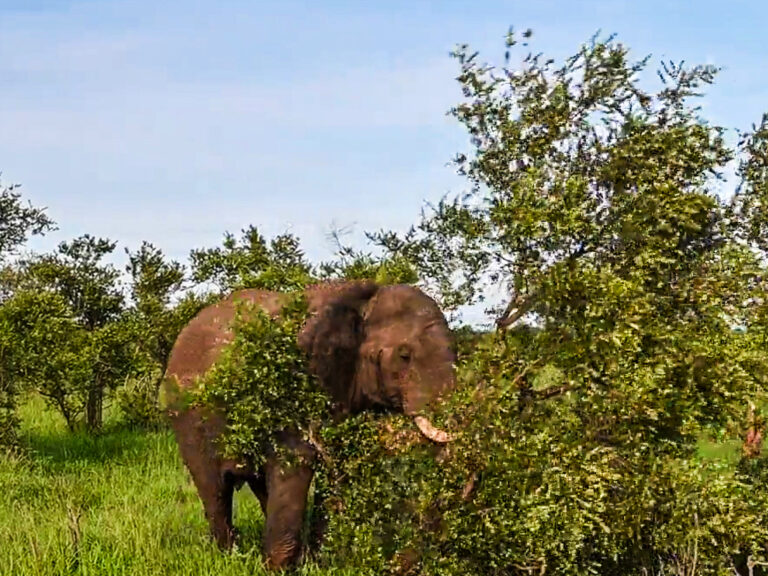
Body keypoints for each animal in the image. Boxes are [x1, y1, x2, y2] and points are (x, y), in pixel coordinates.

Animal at [162, 280, 457, 569]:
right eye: (404, 356)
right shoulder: (292, 383)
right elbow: (295, 464)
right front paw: (278, 570)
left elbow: (334, 471)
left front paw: (318, 564)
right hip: (186, 416)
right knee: (214, 490)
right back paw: (229, 555)